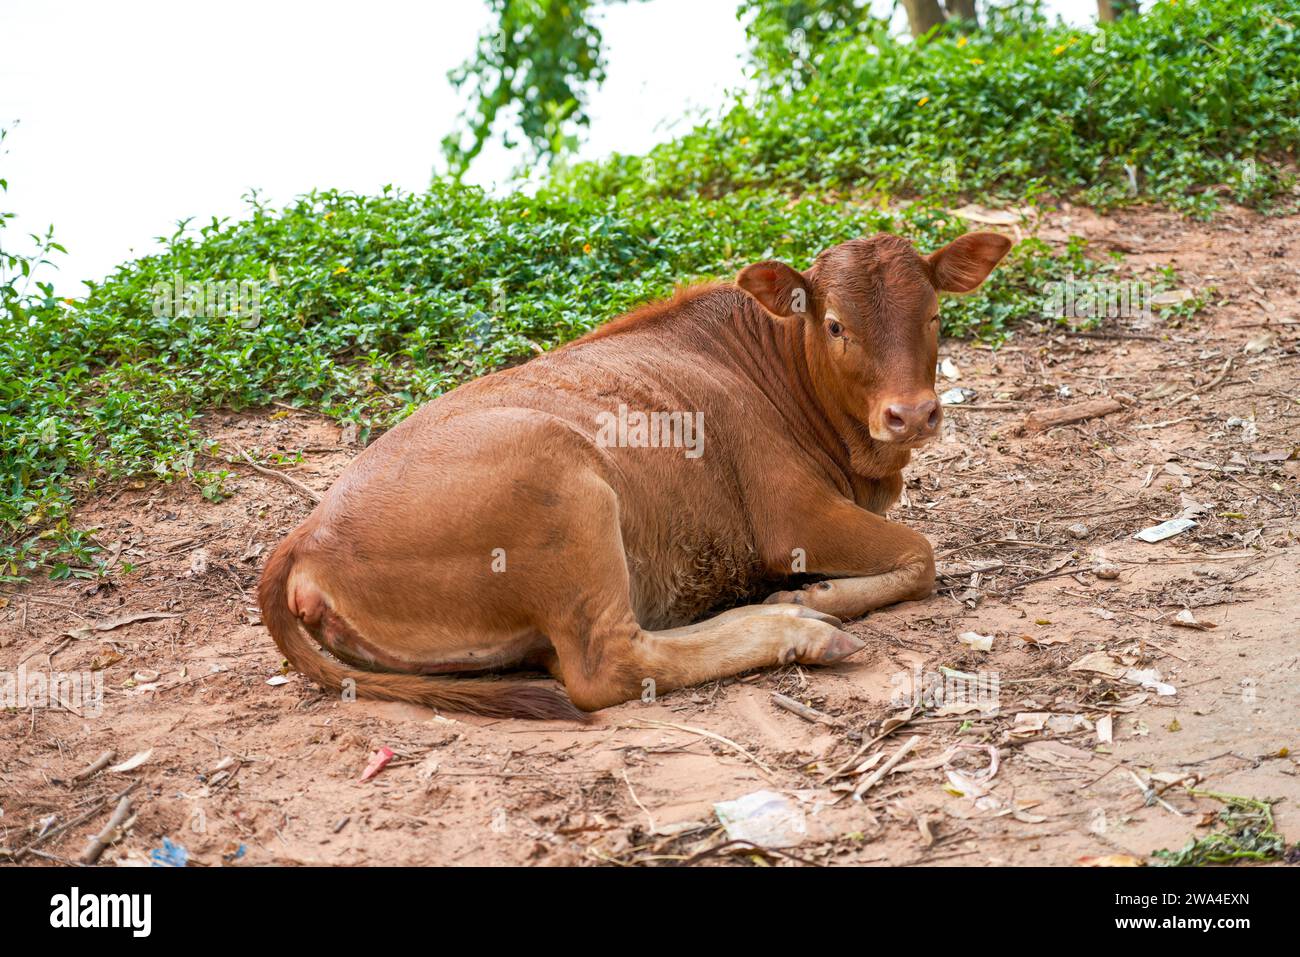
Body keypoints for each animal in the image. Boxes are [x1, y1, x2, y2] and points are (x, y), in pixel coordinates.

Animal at [258, 231, 1012, 720]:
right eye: (834, 324)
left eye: (935, 315)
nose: (912, 415)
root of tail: (304, 535)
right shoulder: (793, 514)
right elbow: (922, 556)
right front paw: (818, 594)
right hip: (563, 488)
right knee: (607, 666)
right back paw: (798, 627)